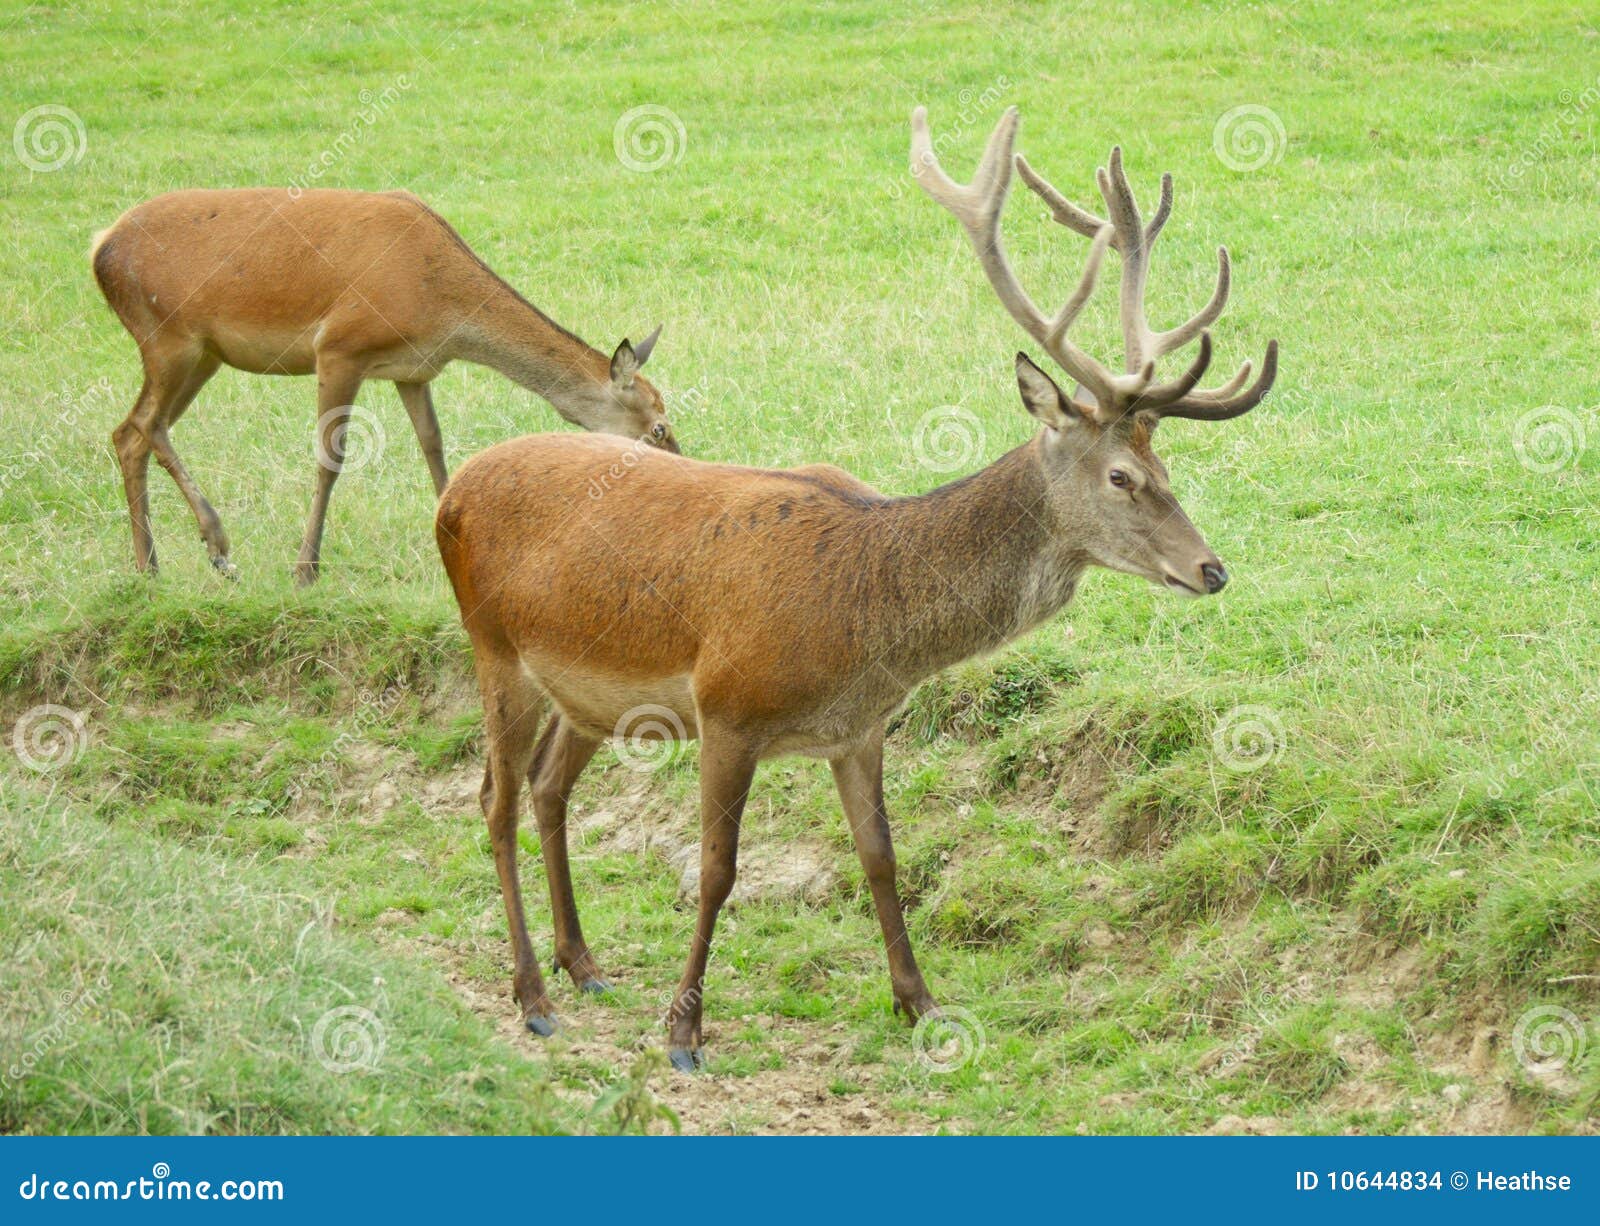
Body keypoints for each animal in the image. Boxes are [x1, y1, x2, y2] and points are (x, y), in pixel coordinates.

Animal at [90, 187, 678, 585]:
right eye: (658, 425)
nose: (679, 463)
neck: (440, 305)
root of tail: (99, 248)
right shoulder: (339, 349)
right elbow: (330, 458)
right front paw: (306, 569)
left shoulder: (412, 370)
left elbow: (433, 445)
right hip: (169, 337)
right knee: (144, 425)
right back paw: (216, 546)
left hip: (203, 355)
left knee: (129, 432)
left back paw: (150, 566)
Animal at [433, 106, 1277, 1072]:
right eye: (1121, 478)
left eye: (1163, 466)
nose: (1211, 568)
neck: (862, 618)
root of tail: (452, 492)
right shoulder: (726, 707)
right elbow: (718, 869)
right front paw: (684, 1031)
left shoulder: (860, 727)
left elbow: (880, 856)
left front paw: (921, 1004)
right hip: (494, 645)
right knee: (495, 799)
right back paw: (533, 995)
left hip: (586, 693)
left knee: (547, 788)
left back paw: (585, 967)